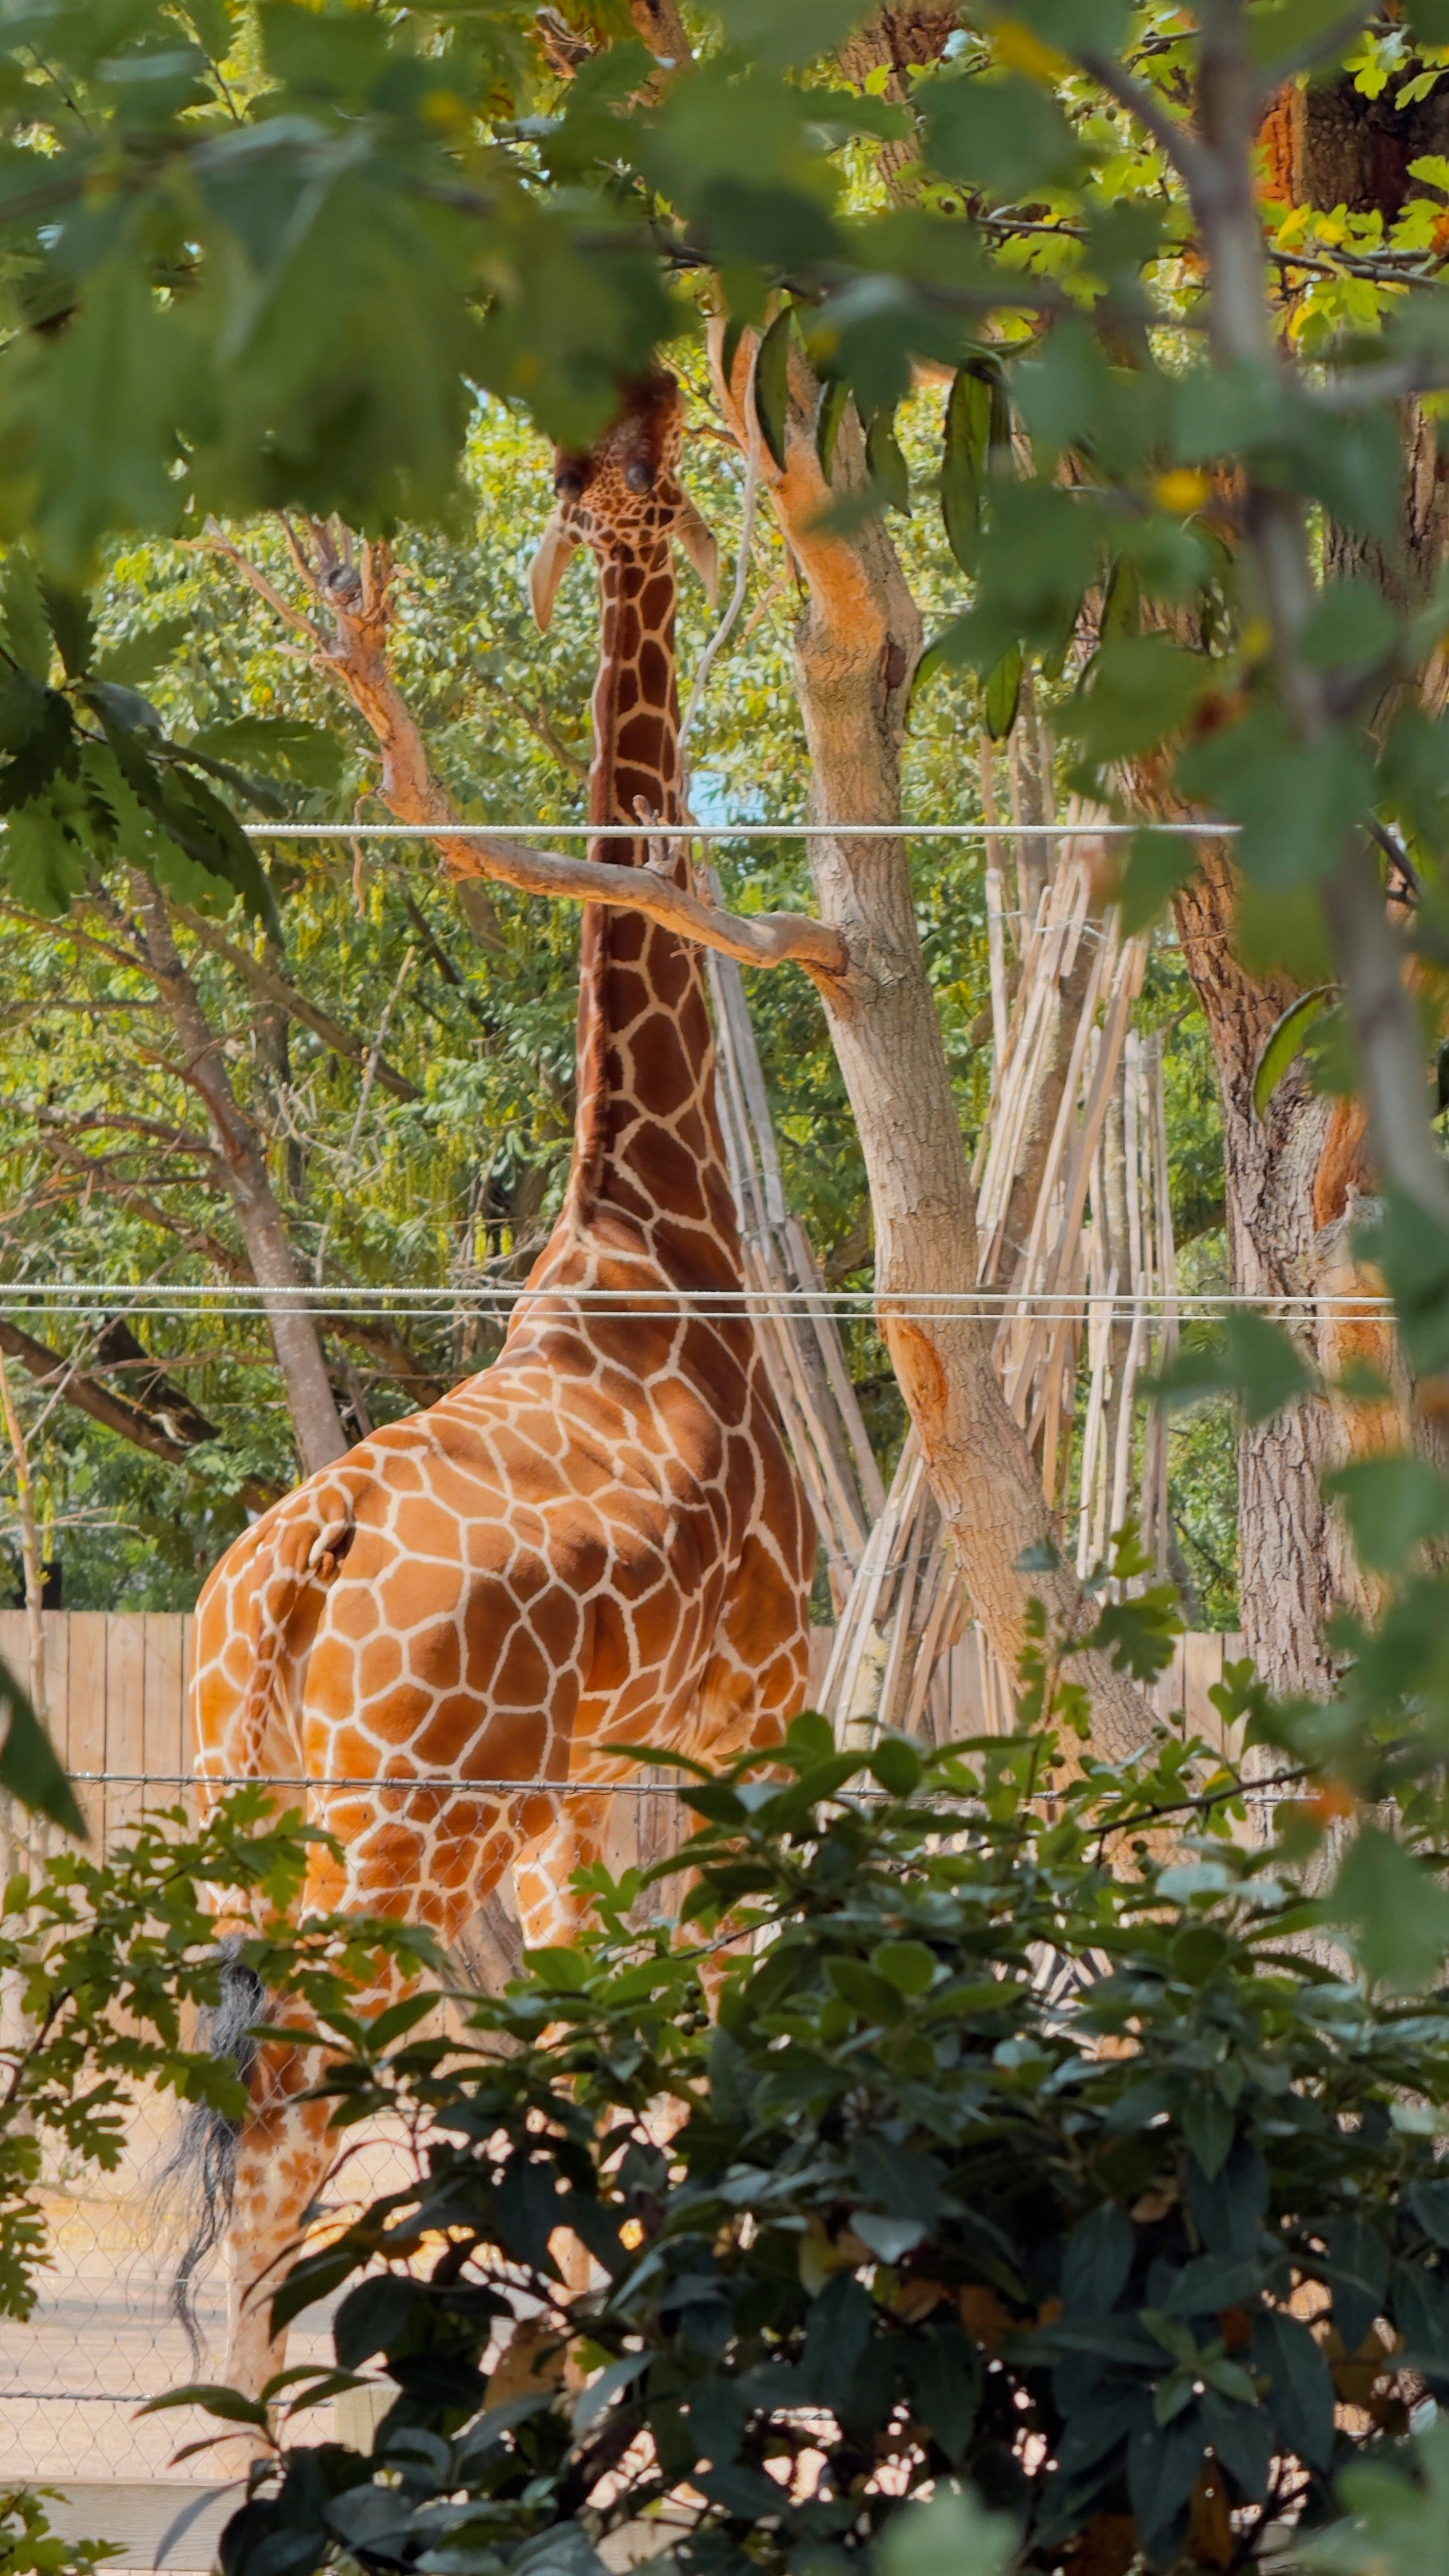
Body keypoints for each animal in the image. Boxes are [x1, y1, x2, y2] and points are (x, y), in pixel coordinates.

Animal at [180, 371, 814, 2402]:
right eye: (663, 465)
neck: (652, 1207)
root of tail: (296, 1569)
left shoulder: (576, 1788)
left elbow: (592, 2049)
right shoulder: (749, 1703)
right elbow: (713, 2008)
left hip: (253, 1813)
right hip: (402, 1825)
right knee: (295, 2104)